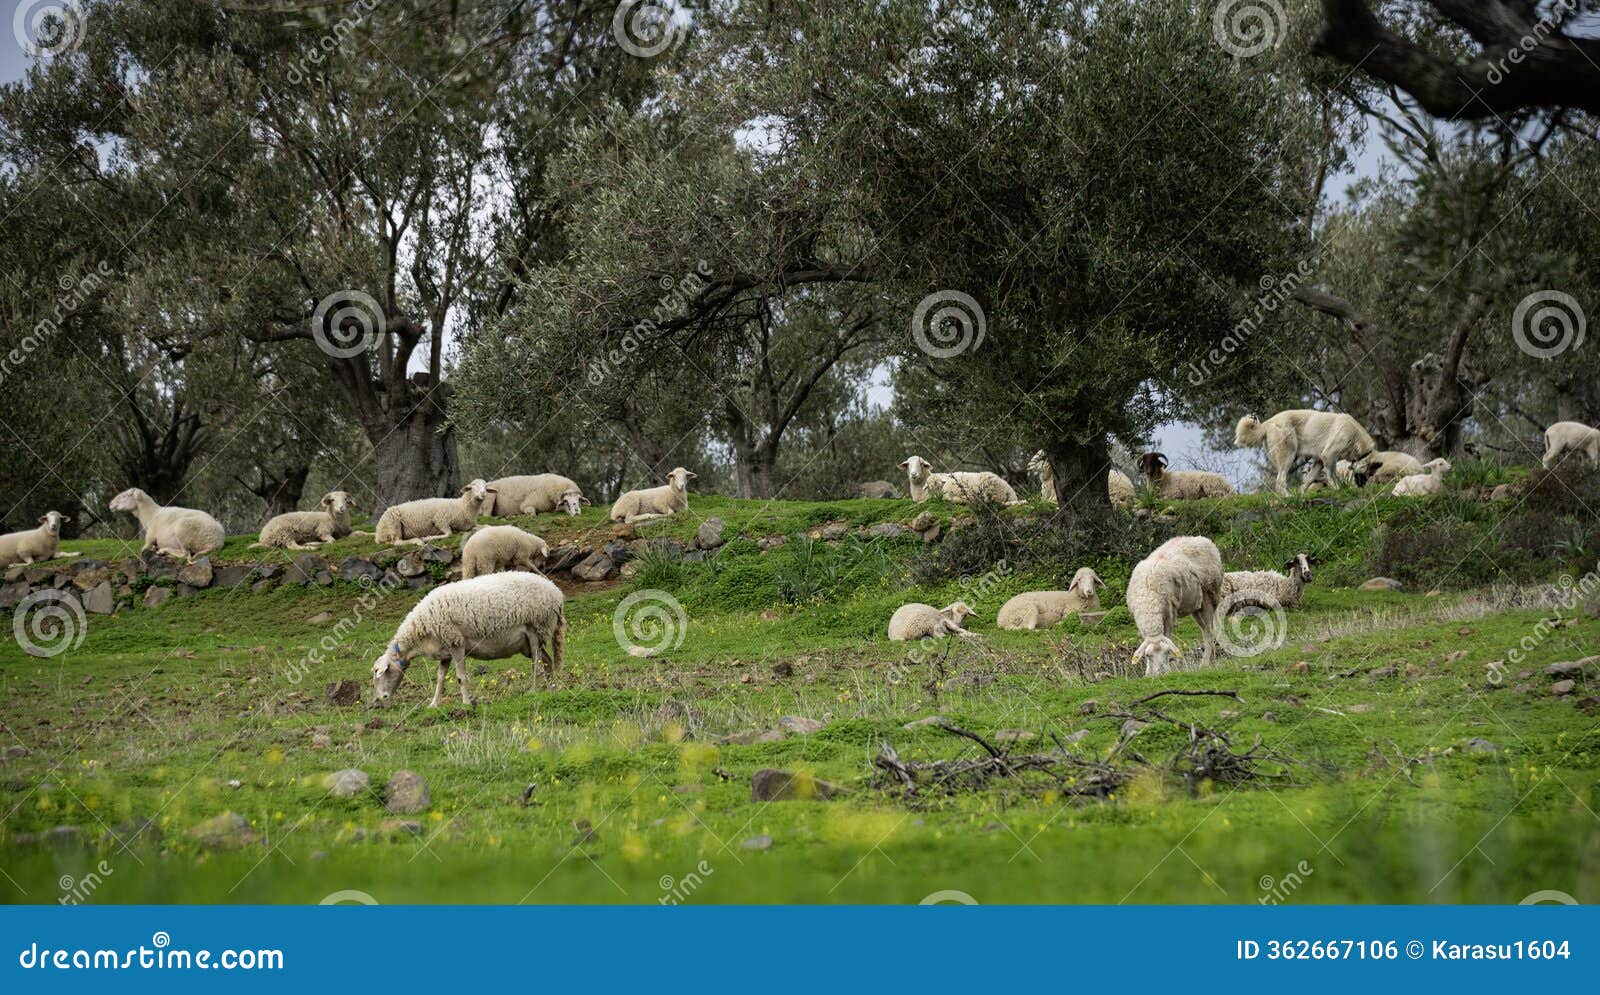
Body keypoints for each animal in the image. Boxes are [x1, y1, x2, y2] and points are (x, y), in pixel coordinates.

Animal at [370, 571, 567, 708]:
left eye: (381, 674)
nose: (379, 702)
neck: (421, 630)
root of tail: (556, 592)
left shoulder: (456, 643)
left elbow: (460, 678)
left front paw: (466, 703)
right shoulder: (445, 652)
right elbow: (440, 679)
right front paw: (434, 704)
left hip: (536, 628)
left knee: (536, 664)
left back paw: (533, 691)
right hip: (528, 641)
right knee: (547, 660)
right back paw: (551, 687)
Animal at [1127, 536, 1223, 677]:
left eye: (1167, 653)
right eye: (1148, 656)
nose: (1161, 673)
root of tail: (1202, 538)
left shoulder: (1168, 613)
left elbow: (1167, 635)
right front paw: (1148, 673)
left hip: (1209, 595)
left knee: (1209, 632)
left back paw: (1206, 663)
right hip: (1196, 606)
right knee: (1204, 629)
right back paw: (1211, 661)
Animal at [1235, 410, 1376, 494]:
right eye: (1367, 473)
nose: (1363, 486)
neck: (1356, 436)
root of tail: (1267, 423)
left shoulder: (1320, 460)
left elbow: (1309, 478)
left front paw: (1302, 493)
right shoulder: (1329, 455)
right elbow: (1332, 476)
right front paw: (1337, 489)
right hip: (1288, 456)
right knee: (1280, 481)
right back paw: (1288, 497)